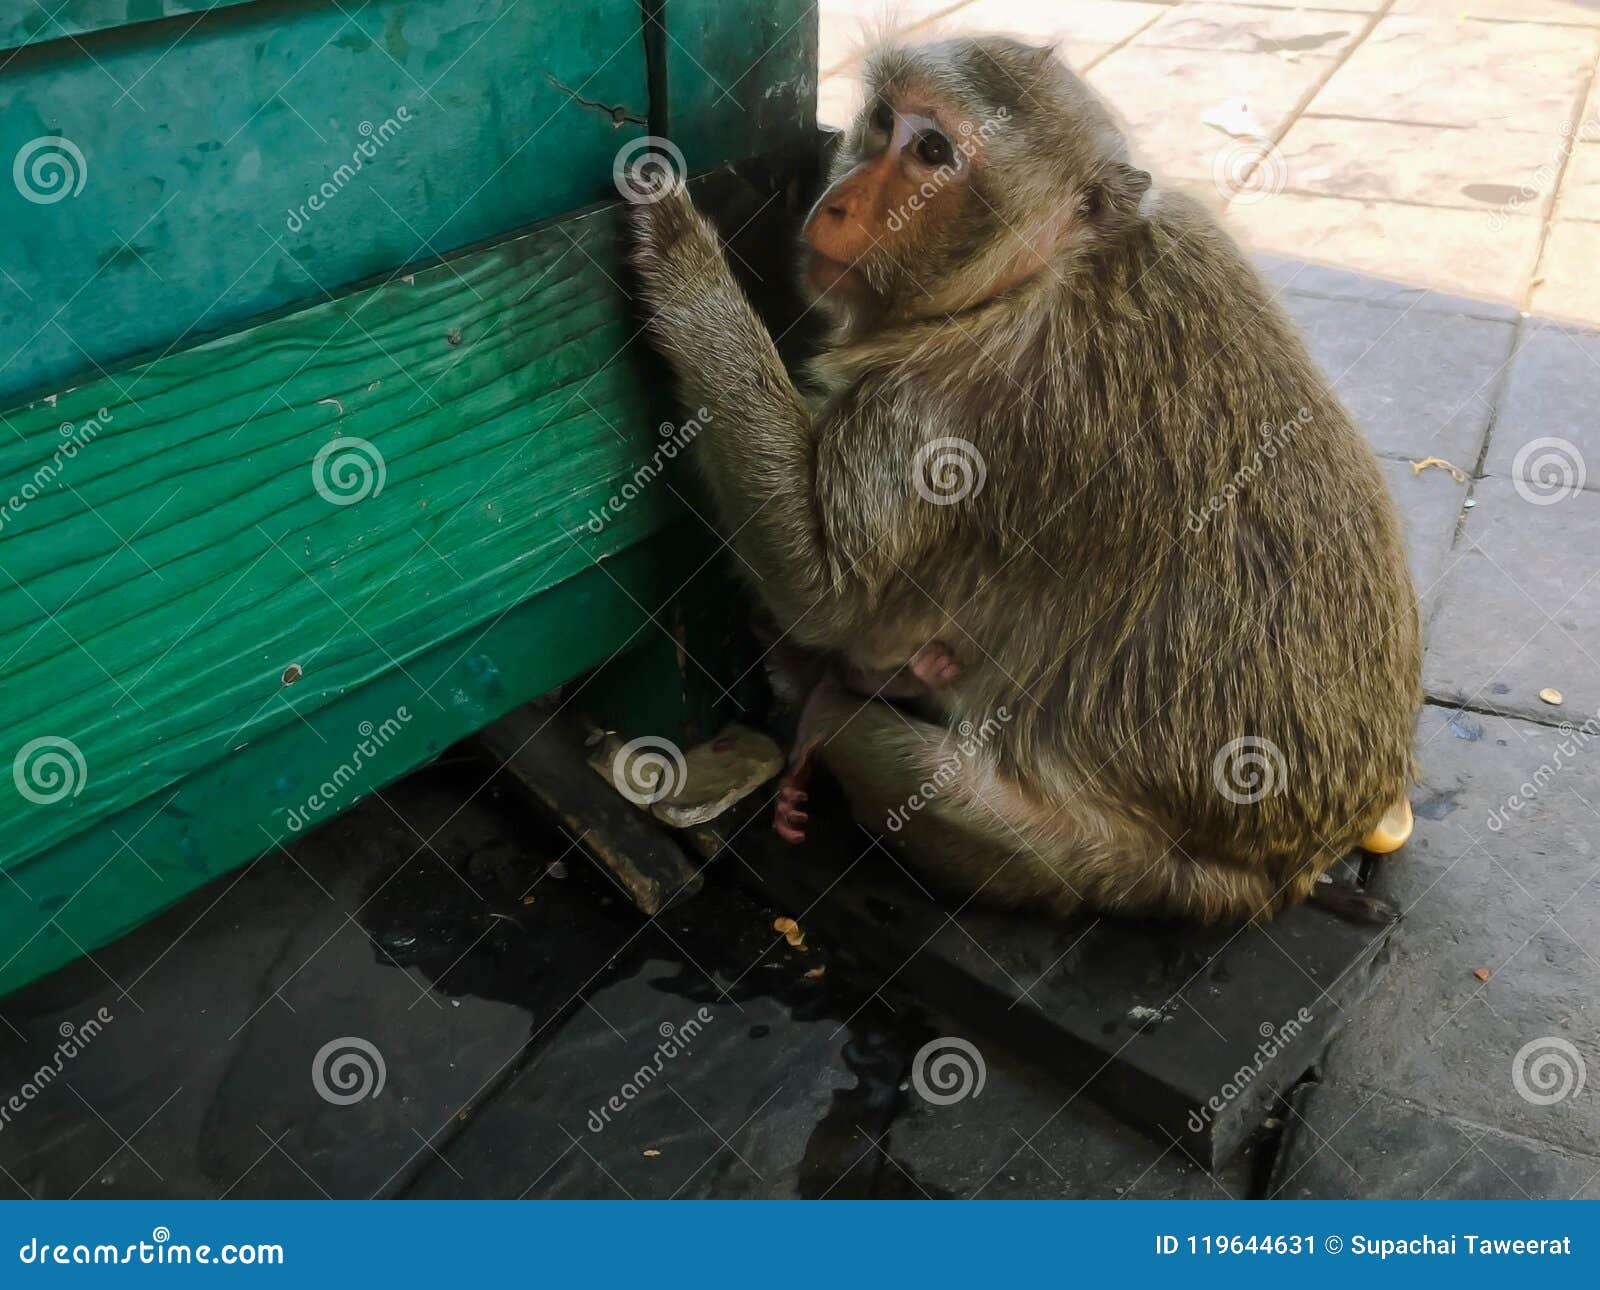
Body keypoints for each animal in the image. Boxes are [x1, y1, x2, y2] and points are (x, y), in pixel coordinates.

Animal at [629, 35, 1421, 924]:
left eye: (933, 152)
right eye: (882, 121)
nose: (835, 204)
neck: (1044, 269)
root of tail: (1295, 866)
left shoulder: (943, 405)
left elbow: (822, 588)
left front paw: (682, 256)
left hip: (1128, 872)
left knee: (894, 751)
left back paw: (822, 704)